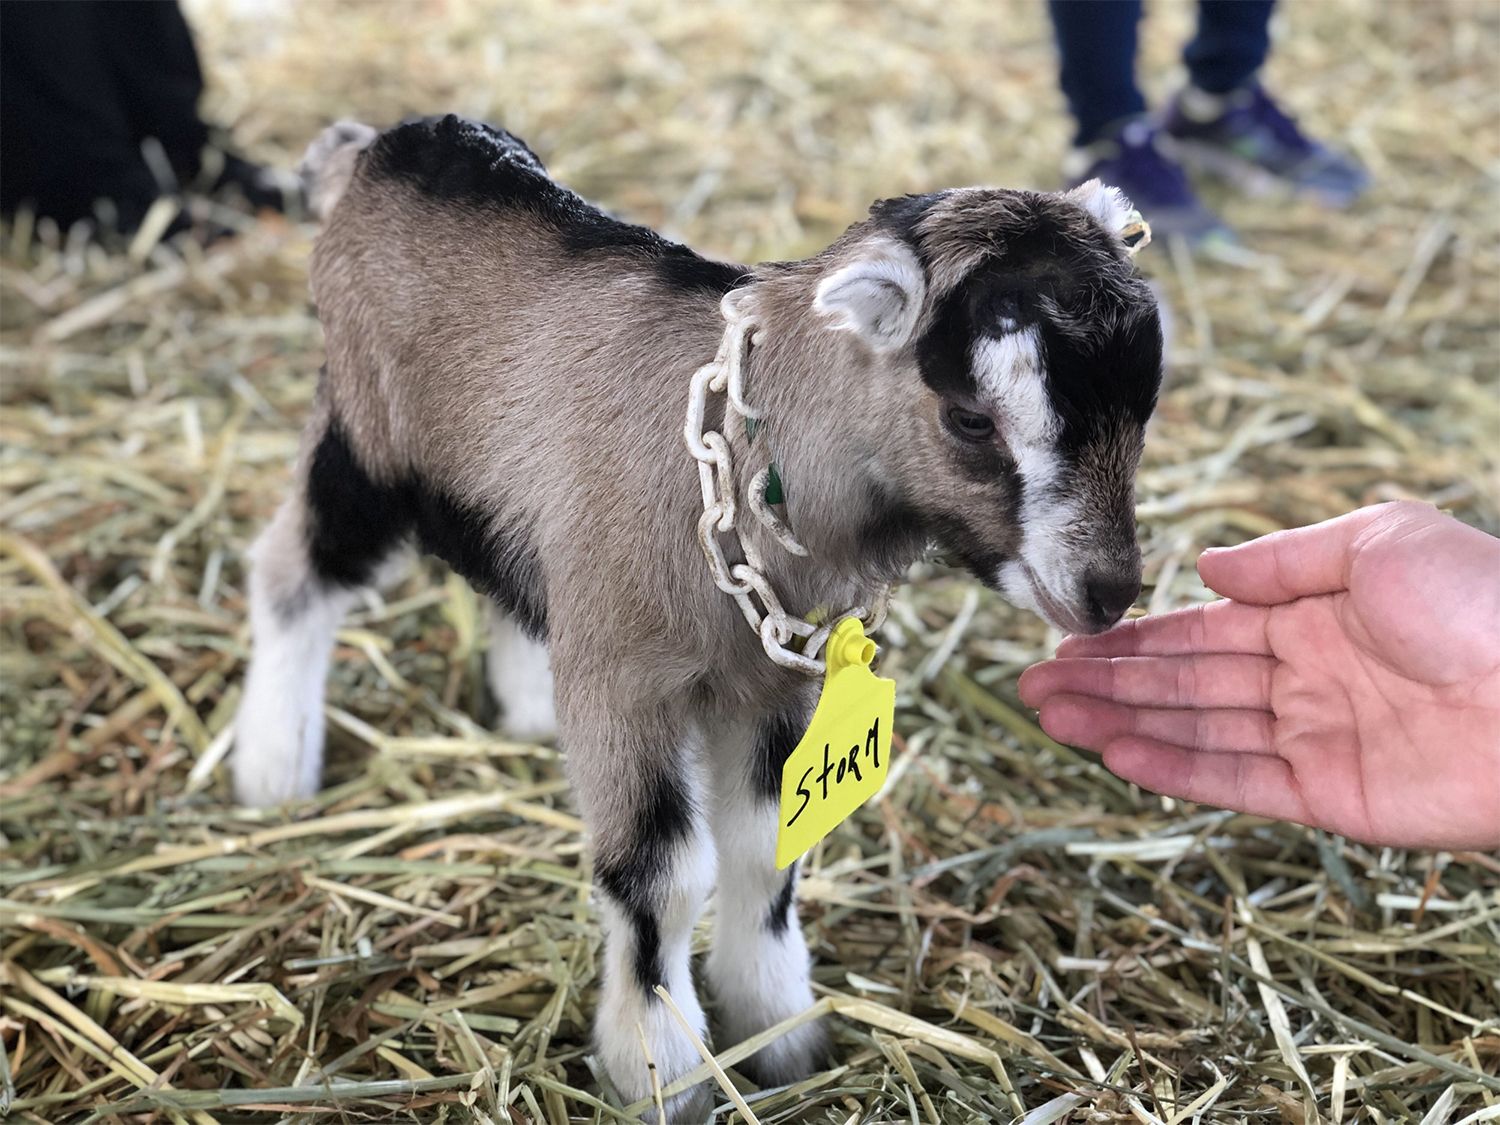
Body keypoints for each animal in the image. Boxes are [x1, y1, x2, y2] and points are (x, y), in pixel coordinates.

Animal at [233, 114, 1163, 1120]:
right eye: (969, 419)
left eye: (1143, 406)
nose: (1106, 592)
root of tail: (374, 147)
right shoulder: (628, 684)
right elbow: (662, 874)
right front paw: (661, 1066)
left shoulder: (771, 682)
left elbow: (766, 850)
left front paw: (778, 1028)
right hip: (361, 441)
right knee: (289, 571)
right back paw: (273, 767)